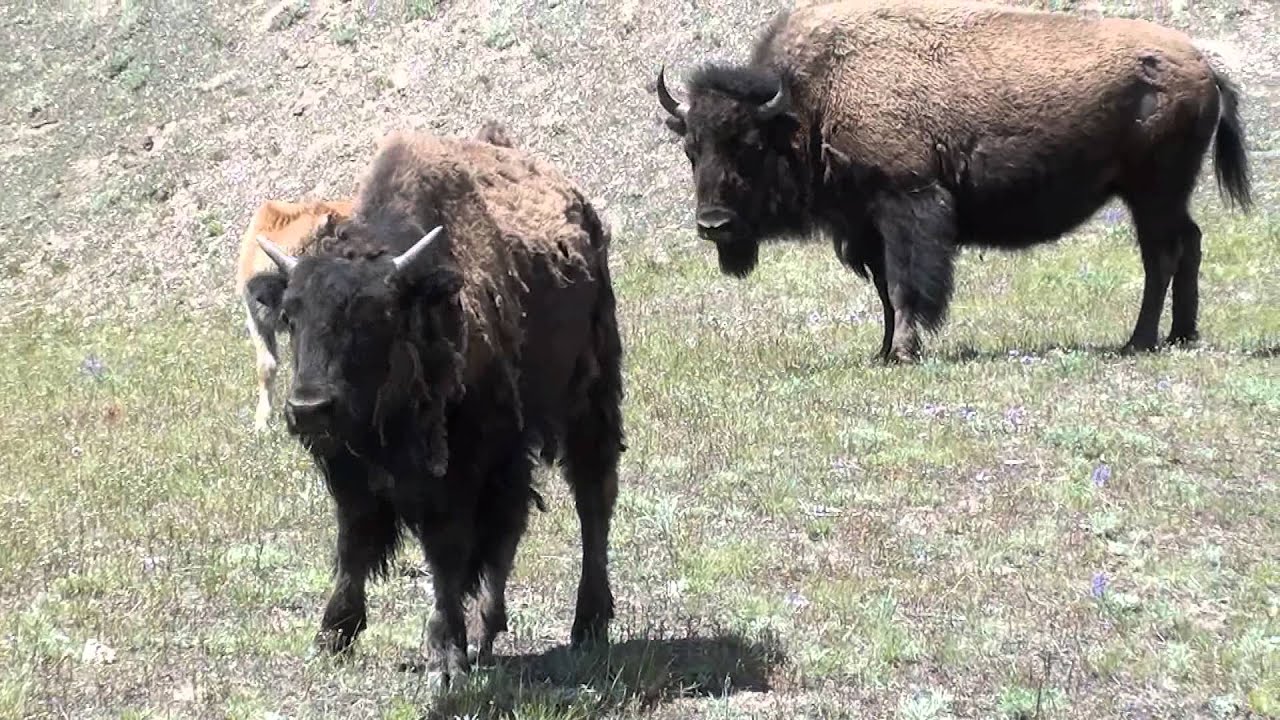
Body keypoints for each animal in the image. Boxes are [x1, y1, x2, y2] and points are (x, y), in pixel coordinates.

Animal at [245, 126, 623, 687]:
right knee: (510, 533)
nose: (309, 407)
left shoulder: (461, 468)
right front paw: (332, 634)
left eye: (375, 316)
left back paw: (587, 623)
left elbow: (445, 550)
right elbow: (353, 540)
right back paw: (490, 627)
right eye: (291, 314)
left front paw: (446, 657)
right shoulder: (351, 469)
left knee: (592, 501)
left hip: (589, 400)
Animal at [655, 0, 1253, 361]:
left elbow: (905, 285)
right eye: (691, 149)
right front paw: (884, 350)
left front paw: (904, 351)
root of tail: (1203, 64)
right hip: (1163, 195)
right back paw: (1181, 335)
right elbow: (884, 291)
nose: (713, 224)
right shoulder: (866, 226)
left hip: (1151, 192)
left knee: (1162, 254)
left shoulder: (907, 203)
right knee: (1188, 243)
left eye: (750, 147)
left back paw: (1139, 341)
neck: (811, 100)